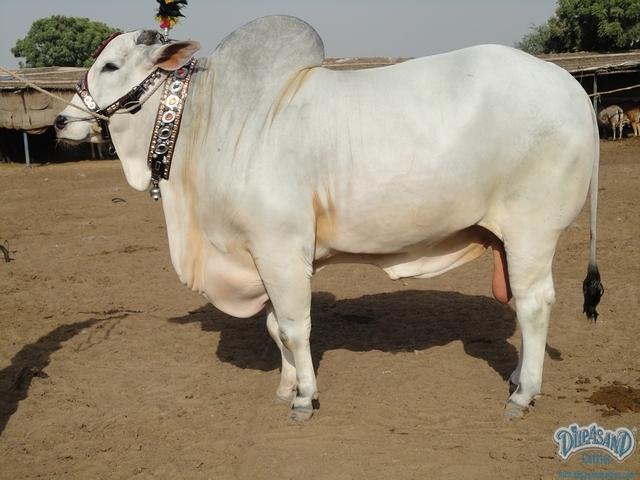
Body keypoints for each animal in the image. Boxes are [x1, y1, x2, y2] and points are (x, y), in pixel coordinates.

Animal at [55, 16, 603, 421]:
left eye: (110, 65)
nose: (61, 121)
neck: (216, 123)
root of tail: (570, 86)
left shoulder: (279, 248)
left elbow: (295, 327)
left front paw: (303, 398)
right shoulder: (265, 254)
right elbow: (275, 325)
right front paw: (286, 385)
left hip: (533, 230)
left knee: (534, 304)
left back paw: (523, 393)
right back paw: (515, 378)